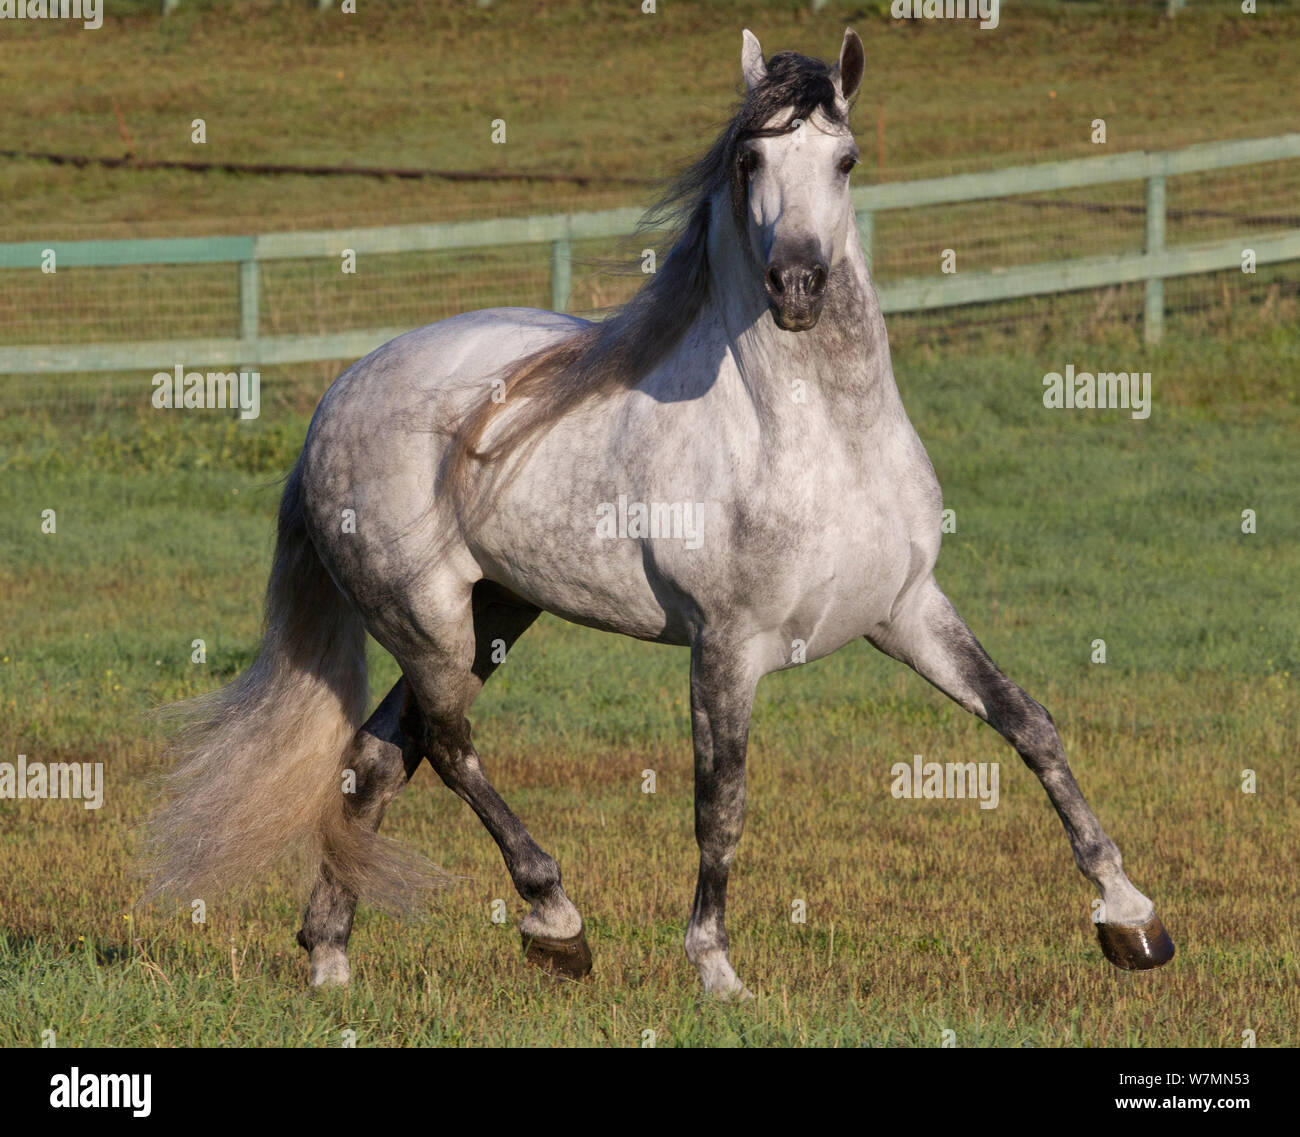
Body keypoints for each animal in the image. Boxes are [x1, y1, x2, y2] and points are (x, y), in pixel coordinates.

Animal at [146, 27, 1174, 998]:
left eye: (845, 160)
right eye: (750, 160)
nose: (798, 286)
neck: (817, 442)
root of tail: (341, 393)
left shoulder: (907, 608)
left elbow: (1028, 724)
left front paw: (1131, 919)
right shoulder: (725, 646)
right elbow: (721, 804)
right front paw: (717, 970)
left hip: (494, 614)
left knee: (375, 757)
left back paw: (330, 958)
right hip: (426, 619)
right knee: (444, 744)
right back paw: (554, 921)